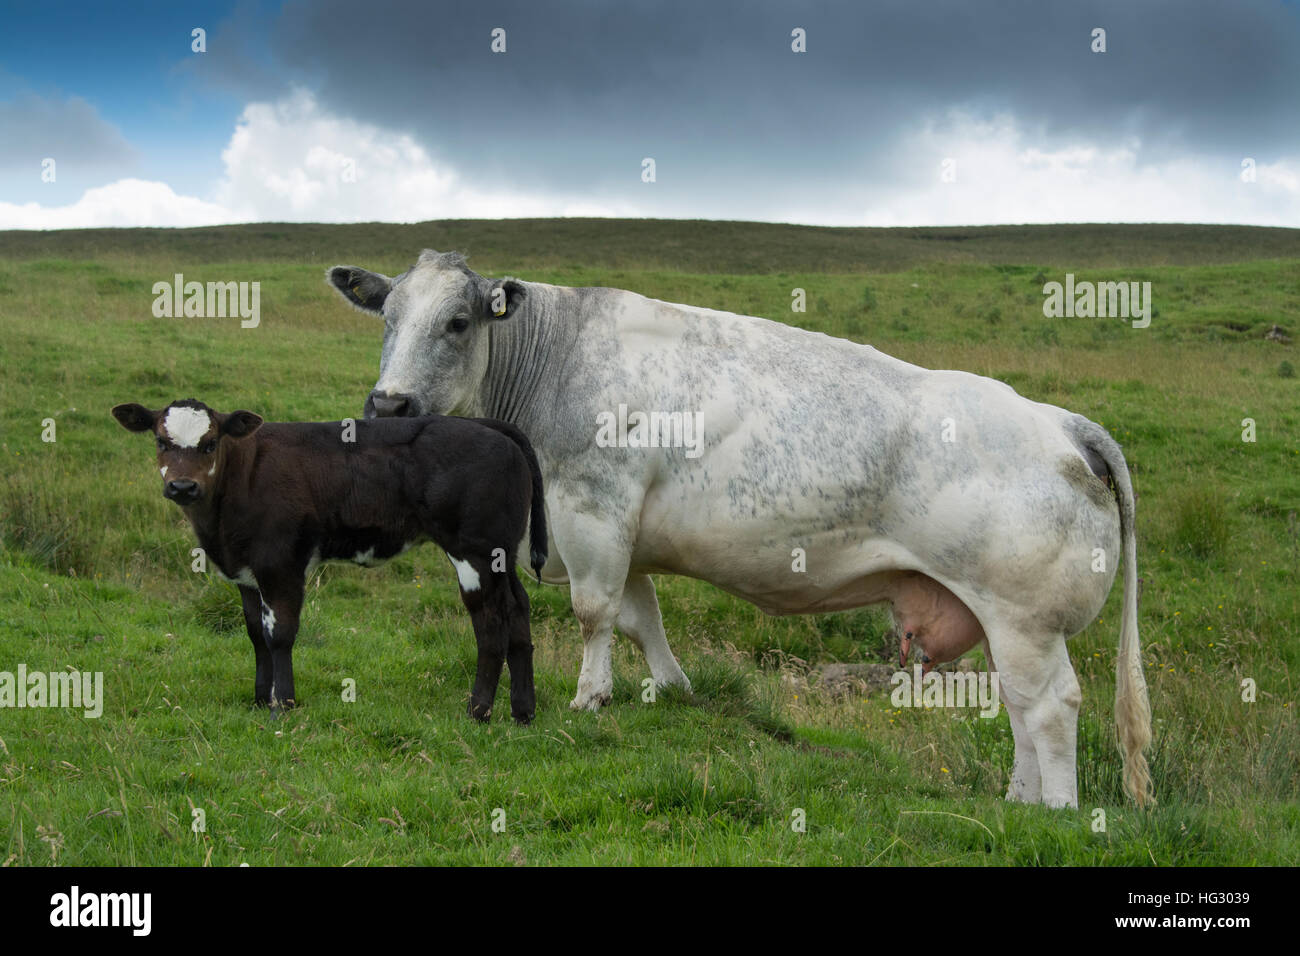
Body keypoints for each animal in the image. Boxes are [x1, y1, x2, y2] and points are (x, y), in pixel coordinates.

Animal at [112, 397, 547, 724]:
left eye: (210, 443)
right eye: (161, 441)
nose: (182, 486)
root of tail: (486, 426)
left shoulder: (281, 563)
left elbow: (279, 634)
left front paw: (282, 705)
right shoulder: (246, 573)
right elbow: (255, 633)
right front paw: (260, 699)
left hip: (474, 552)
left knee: (490, 625)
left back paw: (478, 711)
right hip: (502, 555)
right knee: (518, 613)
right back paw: (523, 712)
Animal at [326, 249, 1154, 809]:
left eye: (458, 321)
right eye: (388, 319)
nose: (390, 405)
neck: (551, 364)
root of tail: (1061, 421)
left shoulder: (593, 510)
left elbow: (595, 615)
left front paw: (592, 698)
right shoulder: (624, 534)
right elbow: (641, 618)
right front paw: (672, 686)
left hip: (1025, 616)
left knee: (1049, 706)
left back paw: (1055, 812)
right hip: (999, 618)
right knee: (1018, 704)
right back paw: (1018, 802)